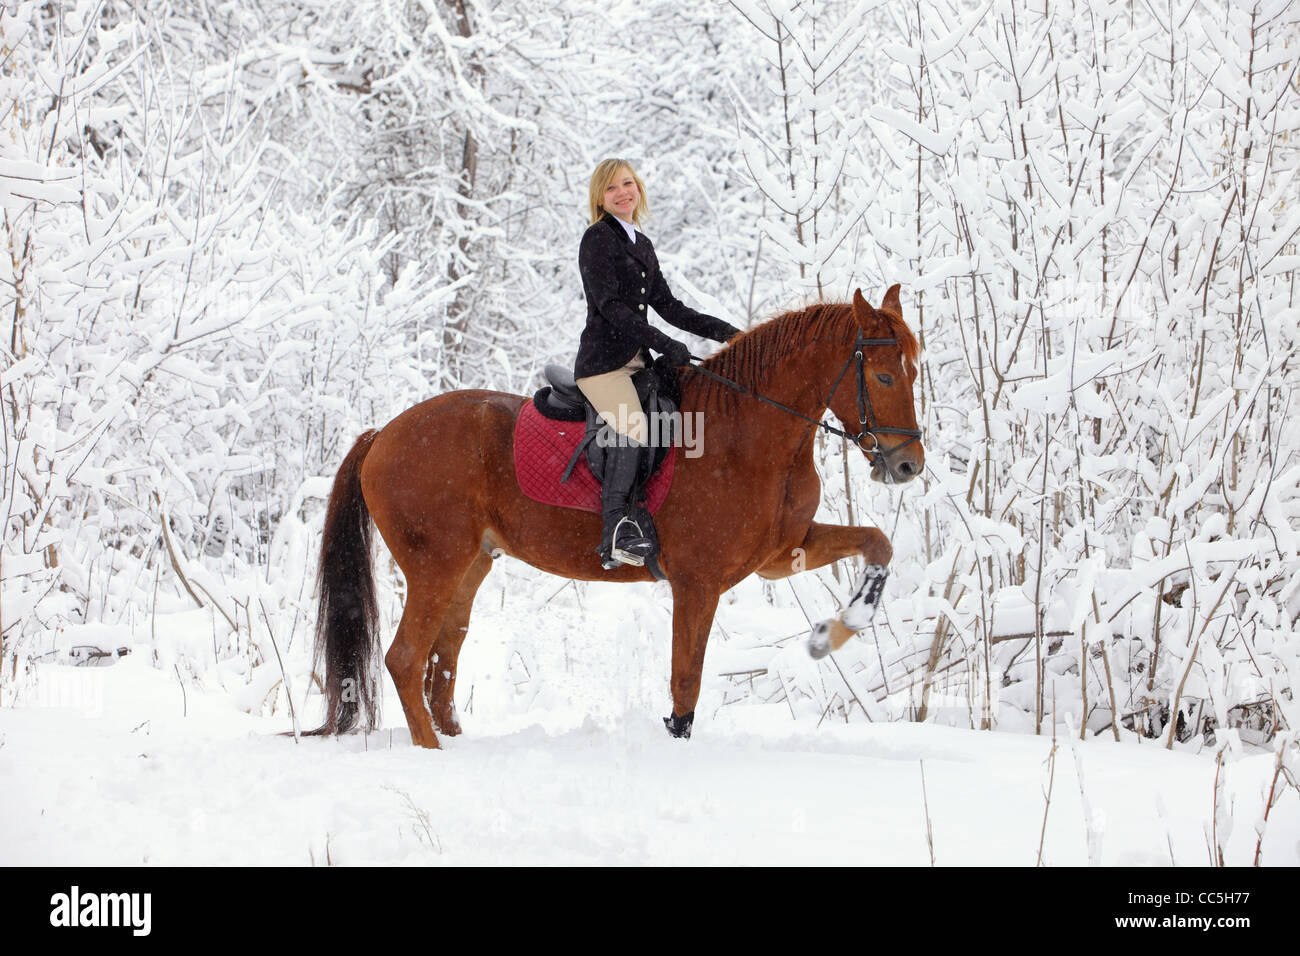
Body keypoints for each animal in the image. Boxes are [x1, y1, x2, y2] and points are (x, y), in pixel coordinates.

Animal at [307, 286, 923, 748]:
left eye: (913, 373)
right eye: (884, 377)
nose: (908, 464)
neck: (747, 435)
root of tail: (383, 433)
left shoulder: (782, 554)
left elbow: (879, 544)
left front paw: (835, 633)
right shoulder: (697, 583)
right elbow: (685, 681)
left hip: (469, 568)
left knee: (442, 662)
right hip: (436, 565)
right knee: (407, 659)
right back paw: (434, 755)